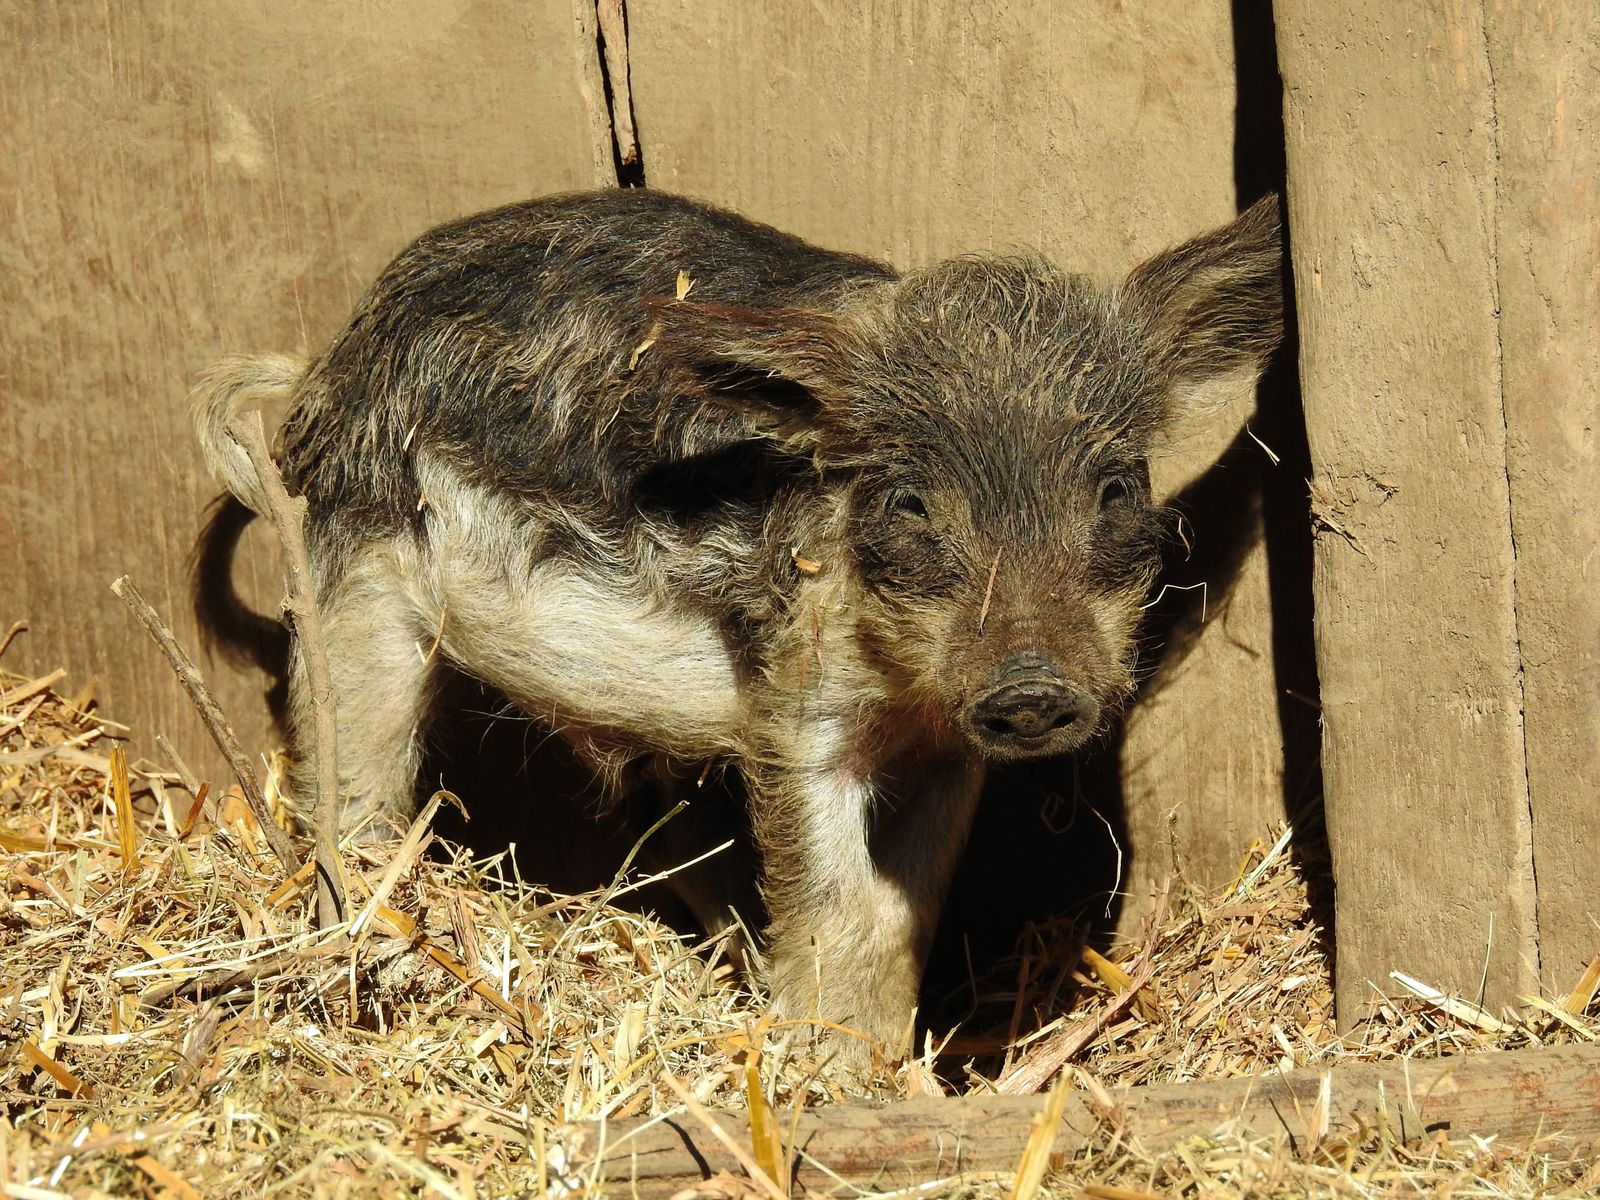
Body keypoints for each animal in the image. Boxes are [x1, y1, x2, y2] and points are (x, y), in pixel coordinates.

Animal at [193, 188, 1283, 1060]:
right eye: (911, 503)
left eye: (1114, 488)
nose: (1031, 686)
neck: (899, 690)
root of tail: (327, 367)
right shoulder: (792, 713)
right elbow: (834, 906)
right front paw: (825, 1075)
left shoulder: (944, 750)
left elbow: (903, 914)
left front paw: (891, 1071)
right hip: (356, 593)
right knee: (349, 791)